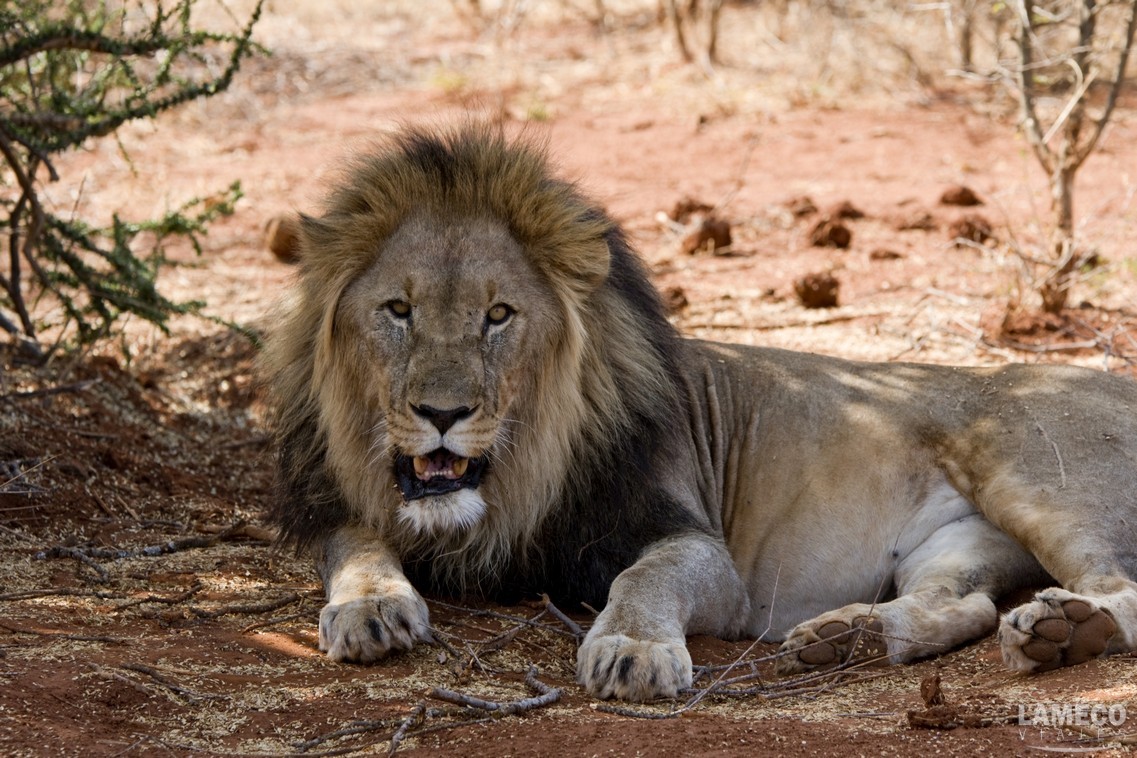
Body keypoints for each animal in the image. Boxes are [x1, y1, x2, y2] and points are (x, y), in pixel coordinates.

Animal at [263, 125, 1137, 702]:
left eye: (498, 315)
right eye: (398, 310)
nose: (441, 412)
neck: (514, 477)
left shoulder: (698, 548)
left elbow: (645, 577)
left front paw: (631, 650)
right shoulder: (341, 504)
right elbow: (356, 542)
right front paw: (370, 607)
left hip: (1025, 472)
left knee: (1116, 588)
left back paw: (1066, 632)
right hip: (954, 546)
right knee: (967, 604)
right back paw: (845, 639)